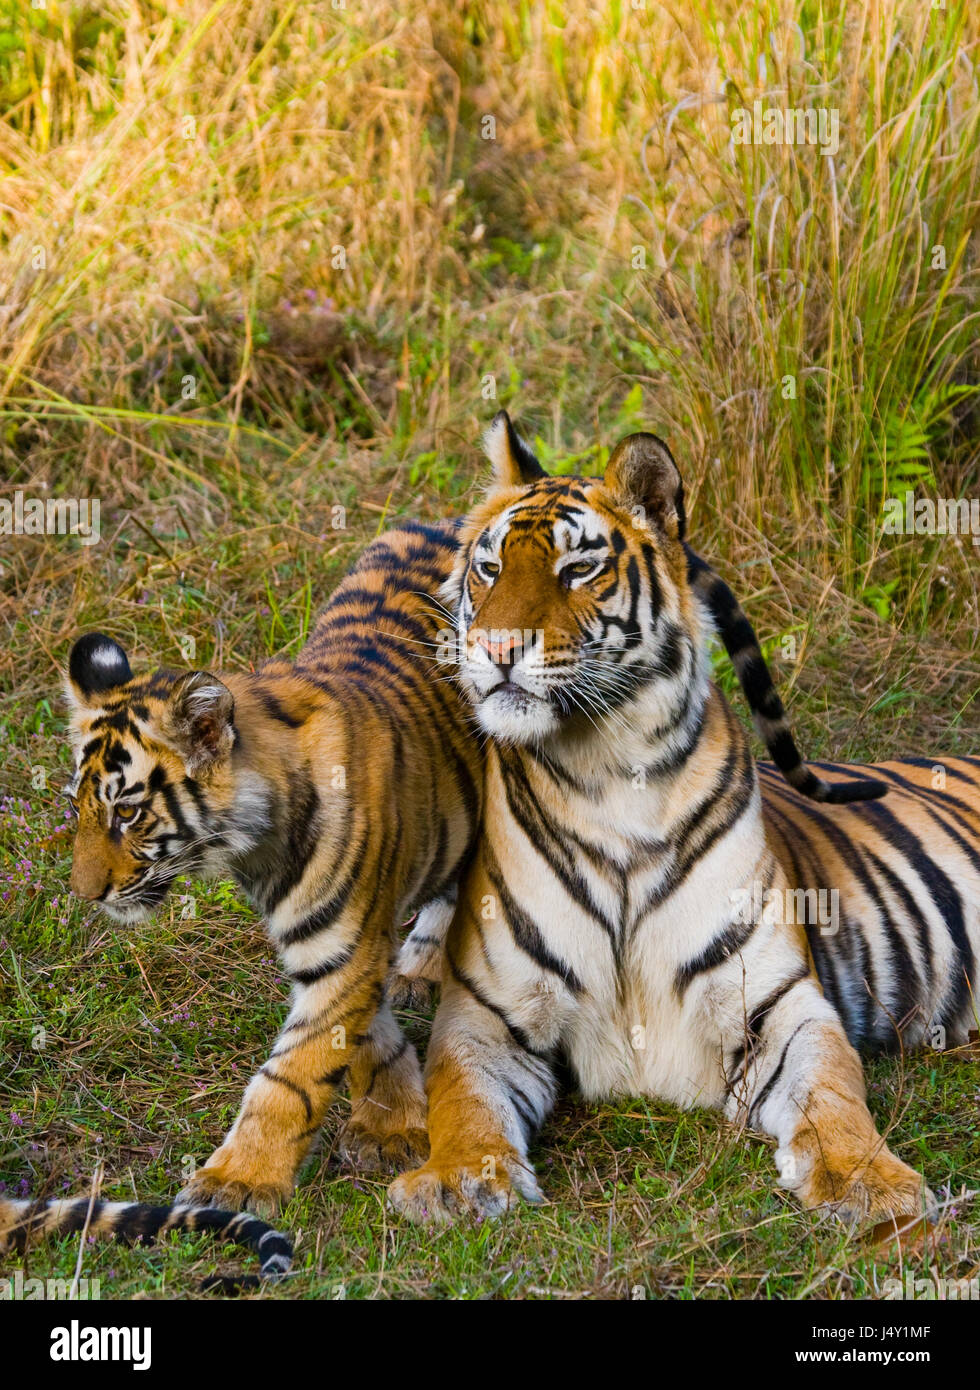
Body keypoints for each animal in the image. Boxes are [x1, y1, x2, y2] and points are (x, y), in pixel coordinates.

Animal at [2, 447, 887, 1277]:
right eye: (81, 808)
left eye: (128, 811)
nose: (85, 892)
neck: (251, 845)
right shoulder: (337, 953)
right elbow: (368, 1037)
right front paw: (395, 1114)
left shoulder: (338, 952)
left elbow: (290, 1078)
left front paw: (234, 1182)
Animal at [388, 412, 980, 1229]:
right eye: (489, 568)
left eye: (578, 570)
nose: (494, 649)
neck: (607, 774)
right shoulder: (488, 1015)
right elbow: (460, 1099)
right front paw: (454, 1180)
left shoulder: (777, 1003)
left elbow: (834, 1095)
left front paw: (871, 1184)